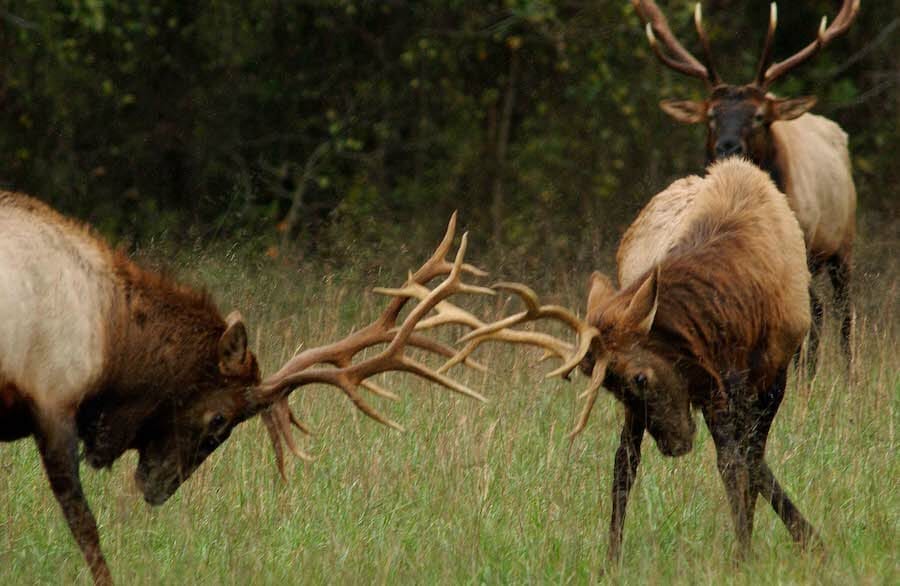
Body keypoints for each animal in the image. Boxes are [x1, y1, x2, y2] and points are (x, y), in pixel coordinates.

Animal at [453, 159, 821, 562]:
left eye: (639, 378)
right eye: (608, 386)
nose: (674, 446)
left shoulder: (768, 375)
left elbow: (746, 460)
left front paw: (780, 542)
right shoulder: (712, 381)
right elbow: (735, 461)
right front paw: (756, 548)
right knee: (625, 461)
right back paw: (611, 558)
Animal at [630, 0, 860, 372]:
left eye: (758, 116)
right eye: (711, 115)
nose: (728, 146)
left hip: (843, 245)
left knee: (842, 313)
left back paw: (848, 373)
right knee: (820, 311)